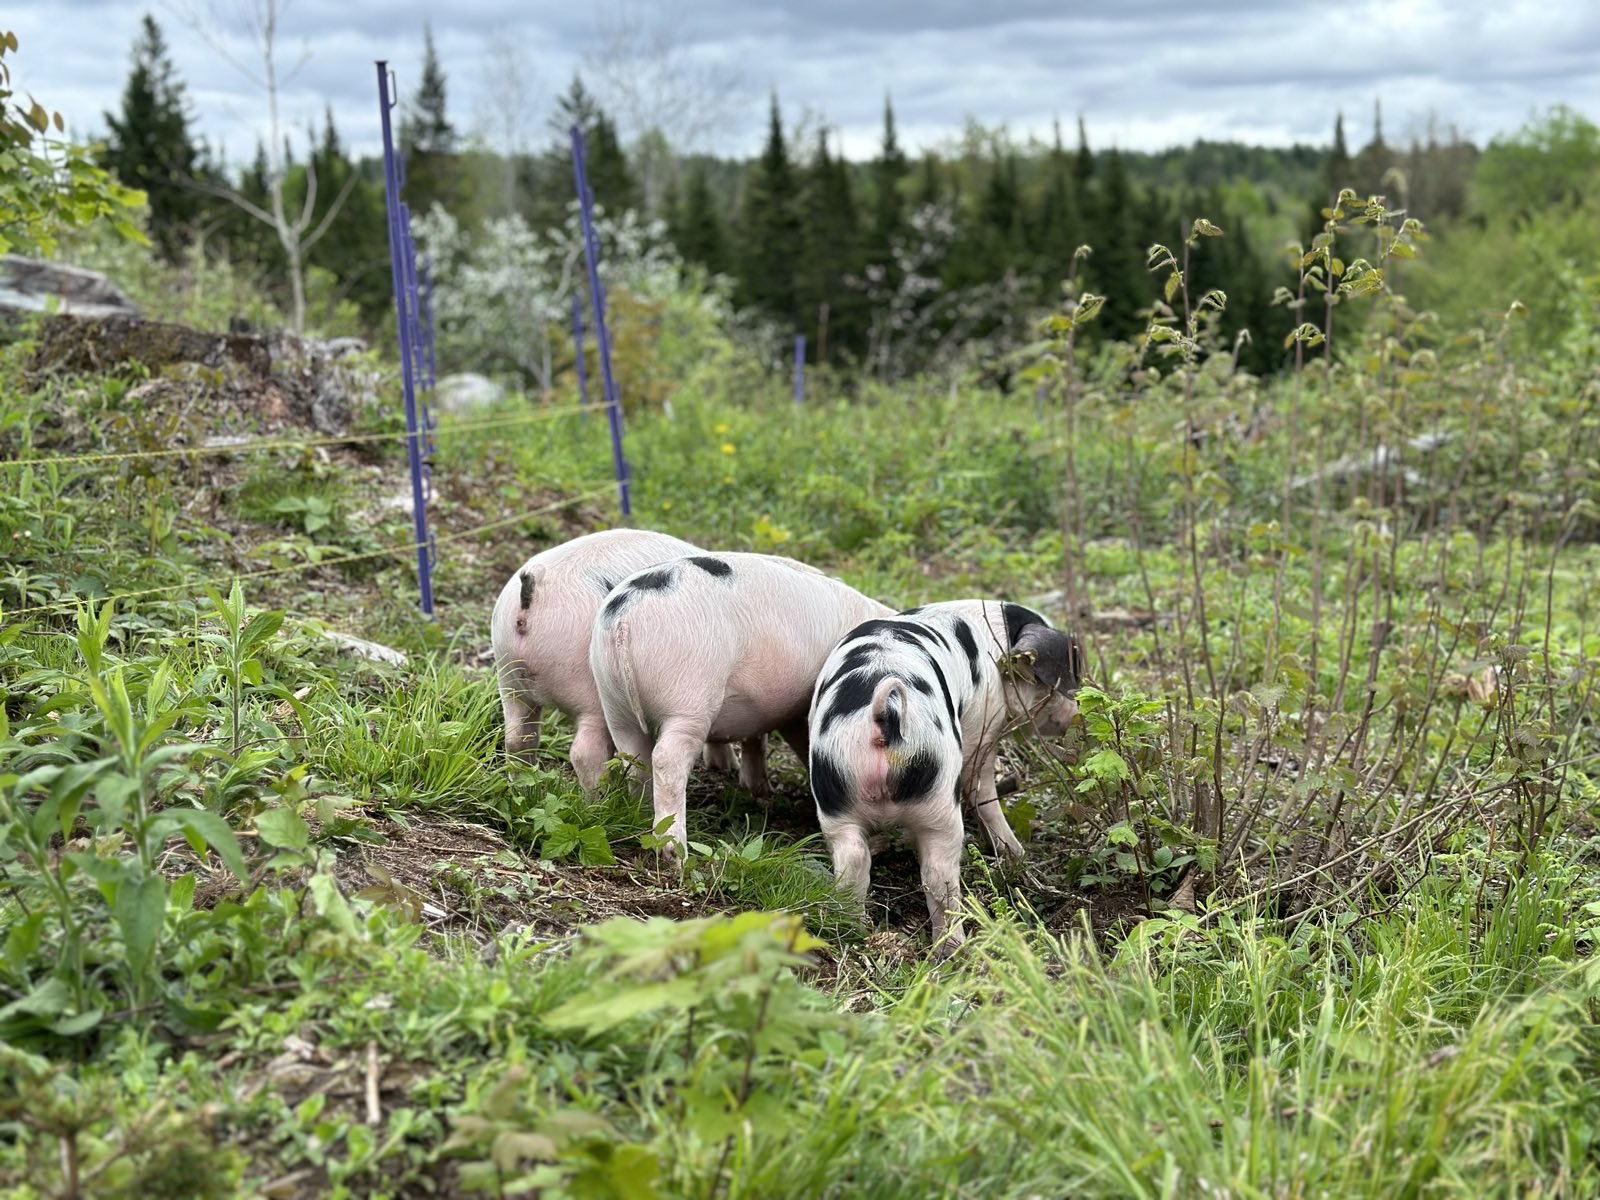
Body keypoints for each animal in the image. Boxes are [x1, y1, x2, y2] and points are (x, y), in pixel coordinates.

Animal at [489, 528, 741, 790]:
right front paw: (729, 767)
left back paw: (521, 785)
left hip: (509, 678)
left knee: (517, 738)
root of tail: (533, 589)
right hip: (587, 690)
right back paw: (600, 794)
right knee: (584, 751)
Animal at [588, 551, 894, 857]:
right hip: (689, 695)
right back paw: (675, 852)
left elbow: (756, 739)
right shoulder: (801, 711)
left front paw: (759, 789)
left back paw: (639, 812)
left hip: (612, 697)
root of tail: (623, 619)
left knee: (632, 755)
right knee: (666, 758)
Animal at [806, 601, 1085, 959]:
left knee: (853, 862)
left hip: (834, 796)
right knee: (939, 875)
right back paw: (954, 949)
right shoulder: (984, 721)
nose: (1076, 714)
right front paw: (1016, 854)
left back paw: (856, 930)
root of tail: (885, 716)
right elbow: (982, 787)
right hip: (938, 802)